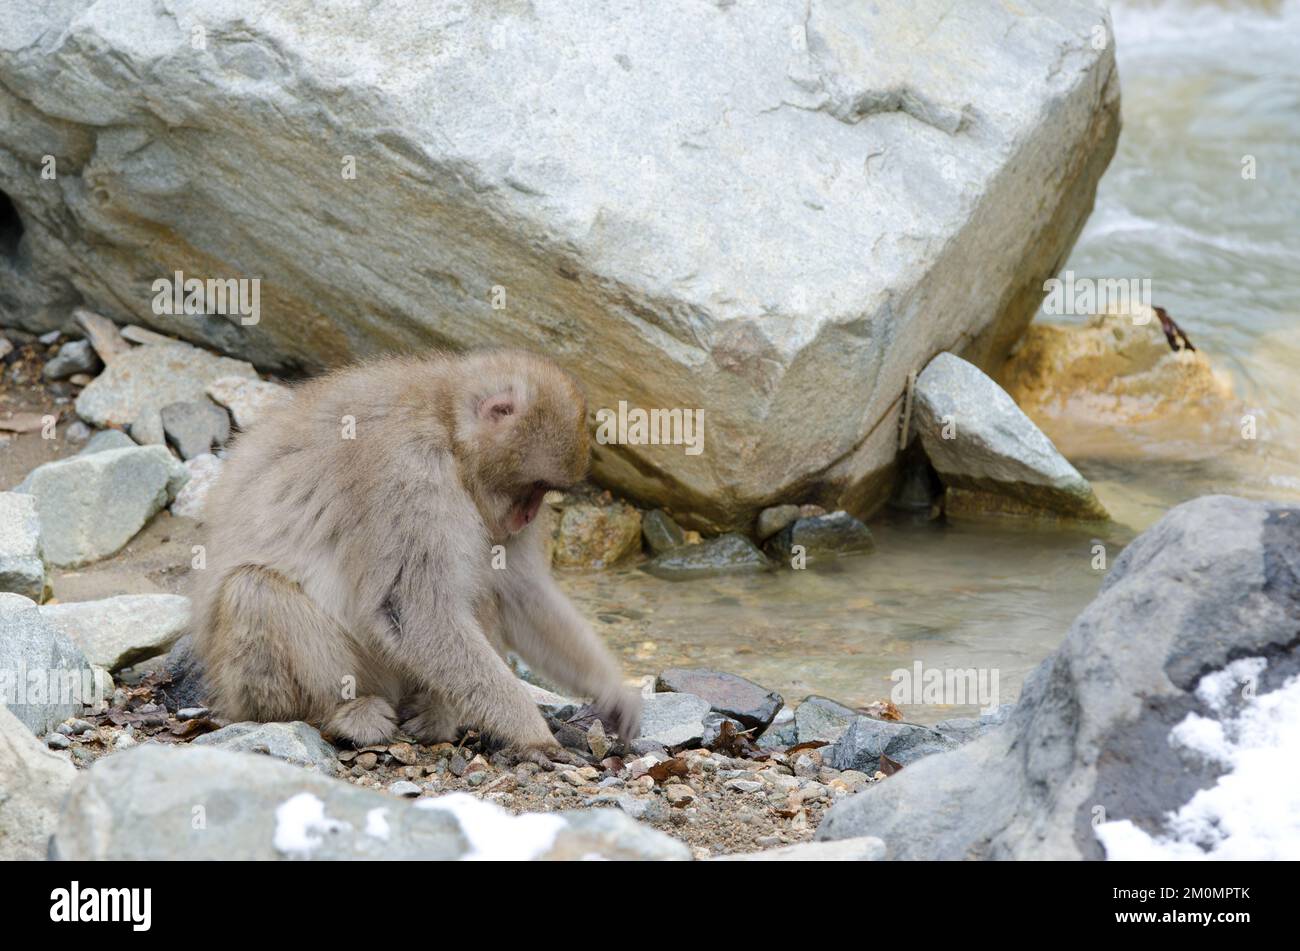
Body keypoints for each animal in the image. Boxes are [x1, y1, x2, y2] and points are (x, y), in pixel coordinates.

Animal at [191, 349, 641, 768]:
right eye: (535, 486)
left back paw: (437, 713)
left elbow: (520, 590)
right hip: (274, 685)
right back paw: (340, 713)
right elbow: (413, 610)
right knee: (254, 588)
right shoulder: (408, 471)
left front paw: (611, 691)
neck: (447, 424)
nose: (529, 515)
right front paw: (534, 735)